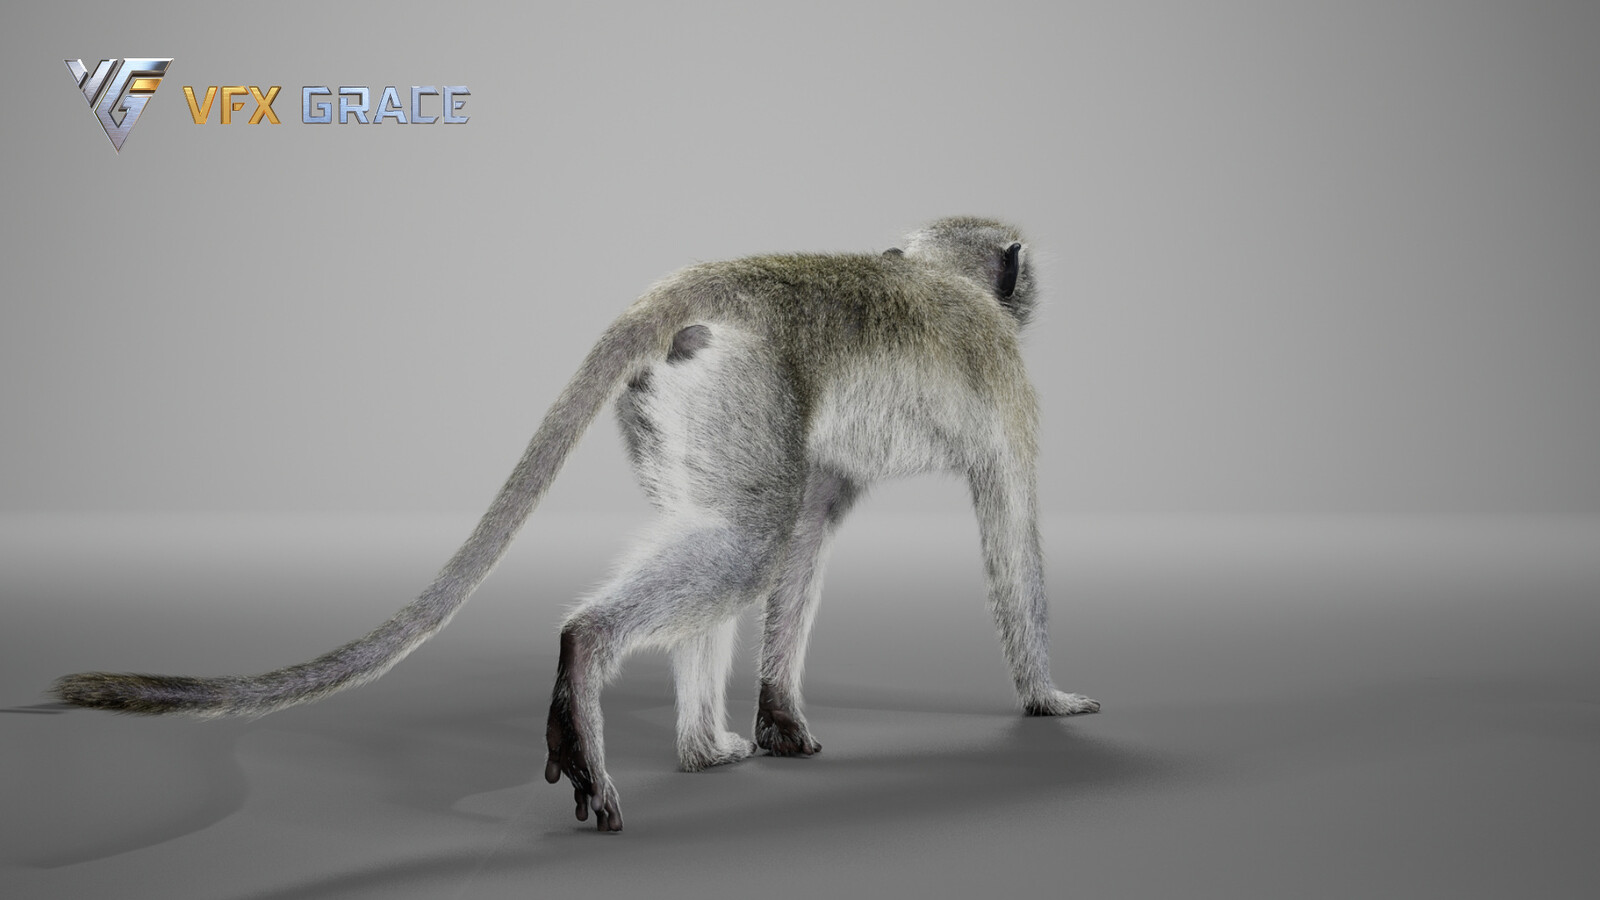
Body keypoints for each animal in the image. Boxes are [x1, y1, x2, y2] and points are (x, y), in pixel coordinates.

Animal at [51, 216, 1099, 833]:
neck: (940, 278)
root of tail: (715, 283)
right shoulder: (1004, 380)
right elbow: (1010, 524)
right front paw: (1048, 695)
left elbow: (809, 537)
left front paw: (780, 720)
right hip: (744, 380)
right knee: (740, 545)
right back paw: (586, 656)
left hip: (689, 398)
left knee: (735, 529)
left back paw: (700, 746)